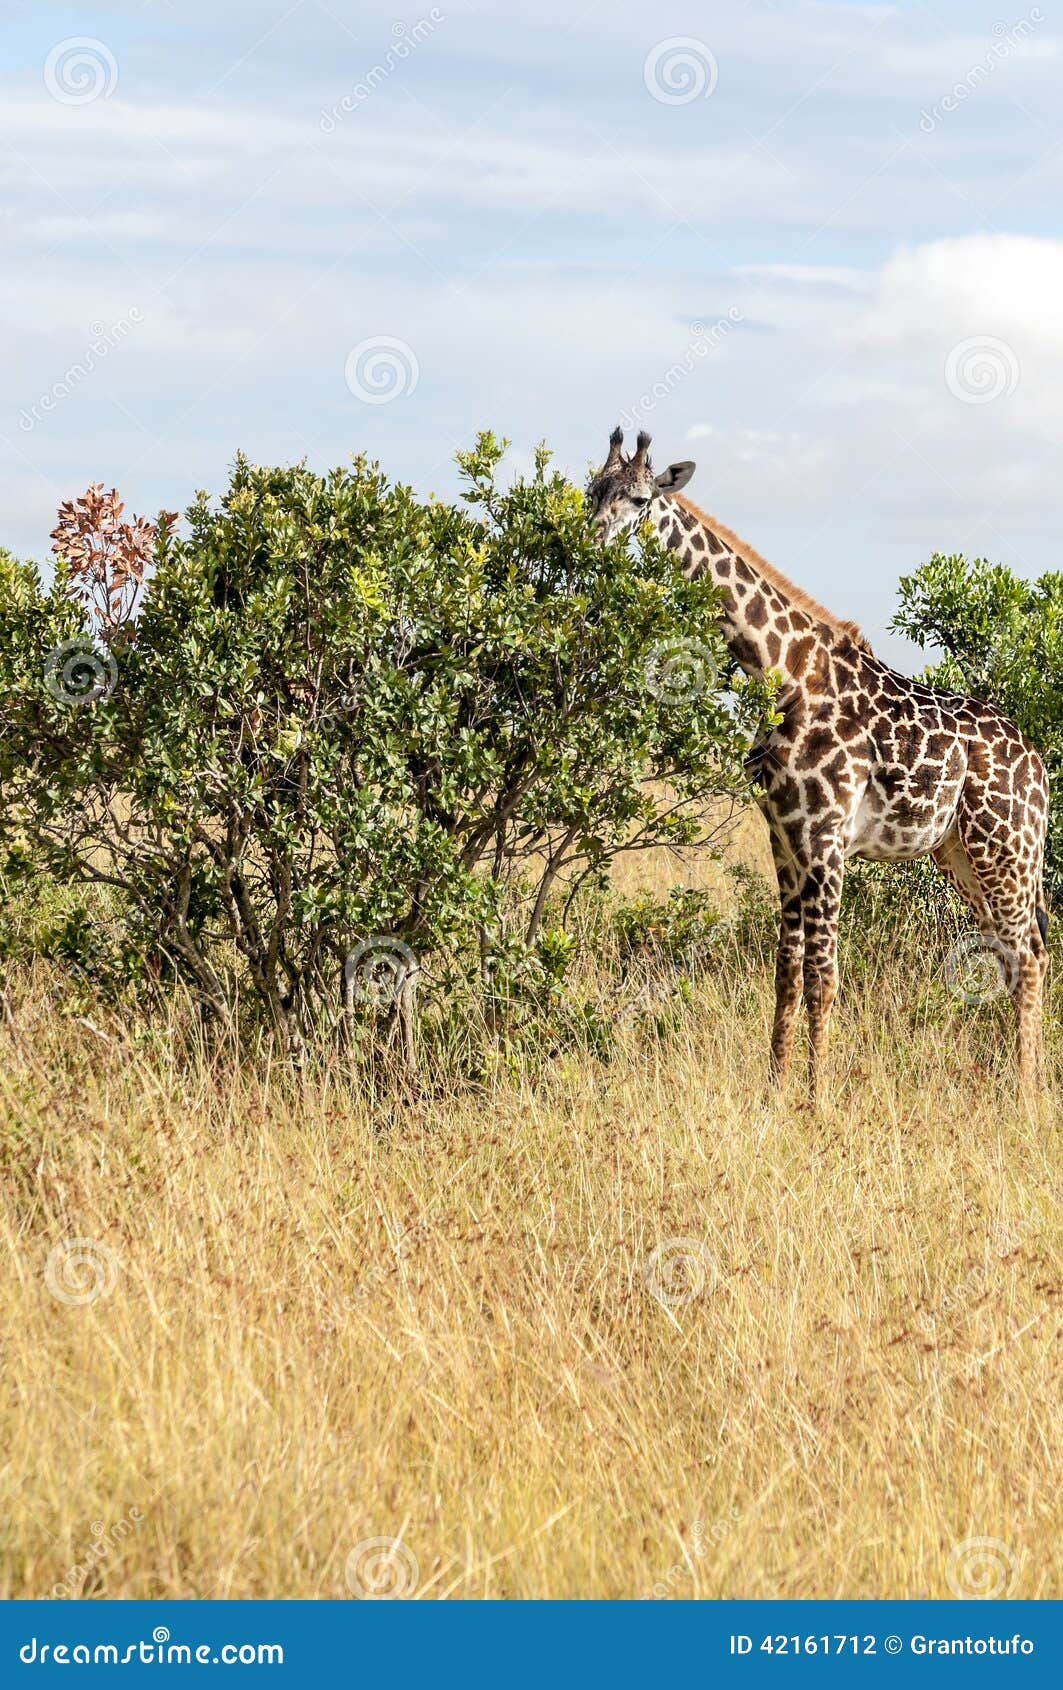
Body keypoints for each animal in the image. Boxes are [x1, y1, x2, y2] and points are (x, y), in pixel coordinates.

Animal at [587, 428, 1050, 1102]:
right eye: (593, 489)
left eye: (643, 499)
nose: (592, 539)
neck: (781, 674)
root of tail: (1039, 765)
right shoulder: (783, 836)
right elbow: (785, 970)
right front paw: (777, 1088)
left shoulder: (828, 838)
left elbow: (823, 977)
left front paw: (817, 1097)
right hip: (960, 854)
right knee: (1014, 953)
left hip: (1005, 849)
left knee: (1030, 953)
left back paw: (1027, 1094)